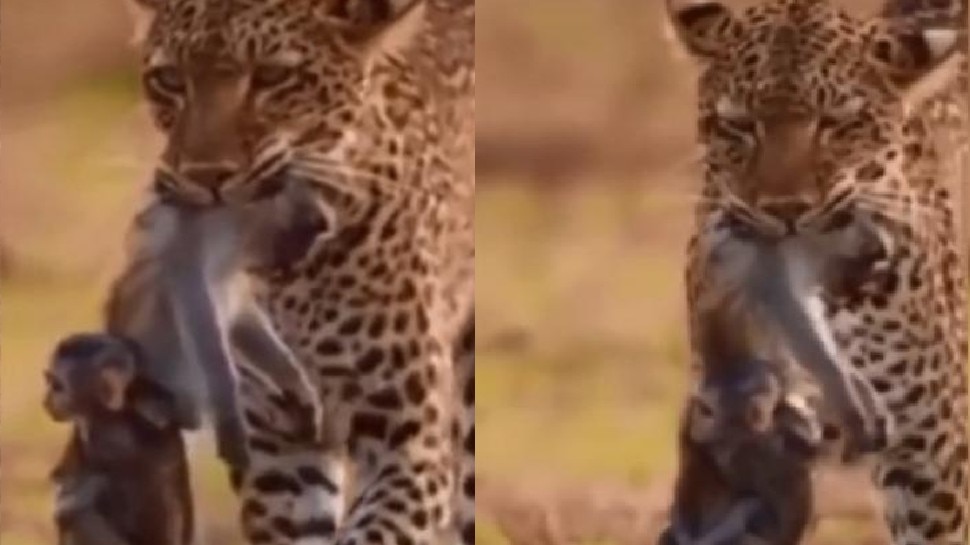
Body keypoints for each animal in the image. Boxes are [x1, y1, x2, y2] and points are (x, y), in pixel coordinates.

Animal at [103, 177, 330, 470]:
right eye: (304, 237)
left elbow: (238, 314)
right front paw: (229, 415)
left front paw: (297, 384)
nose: (290, 266)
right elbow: (192, 294)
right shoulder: (204, 226)